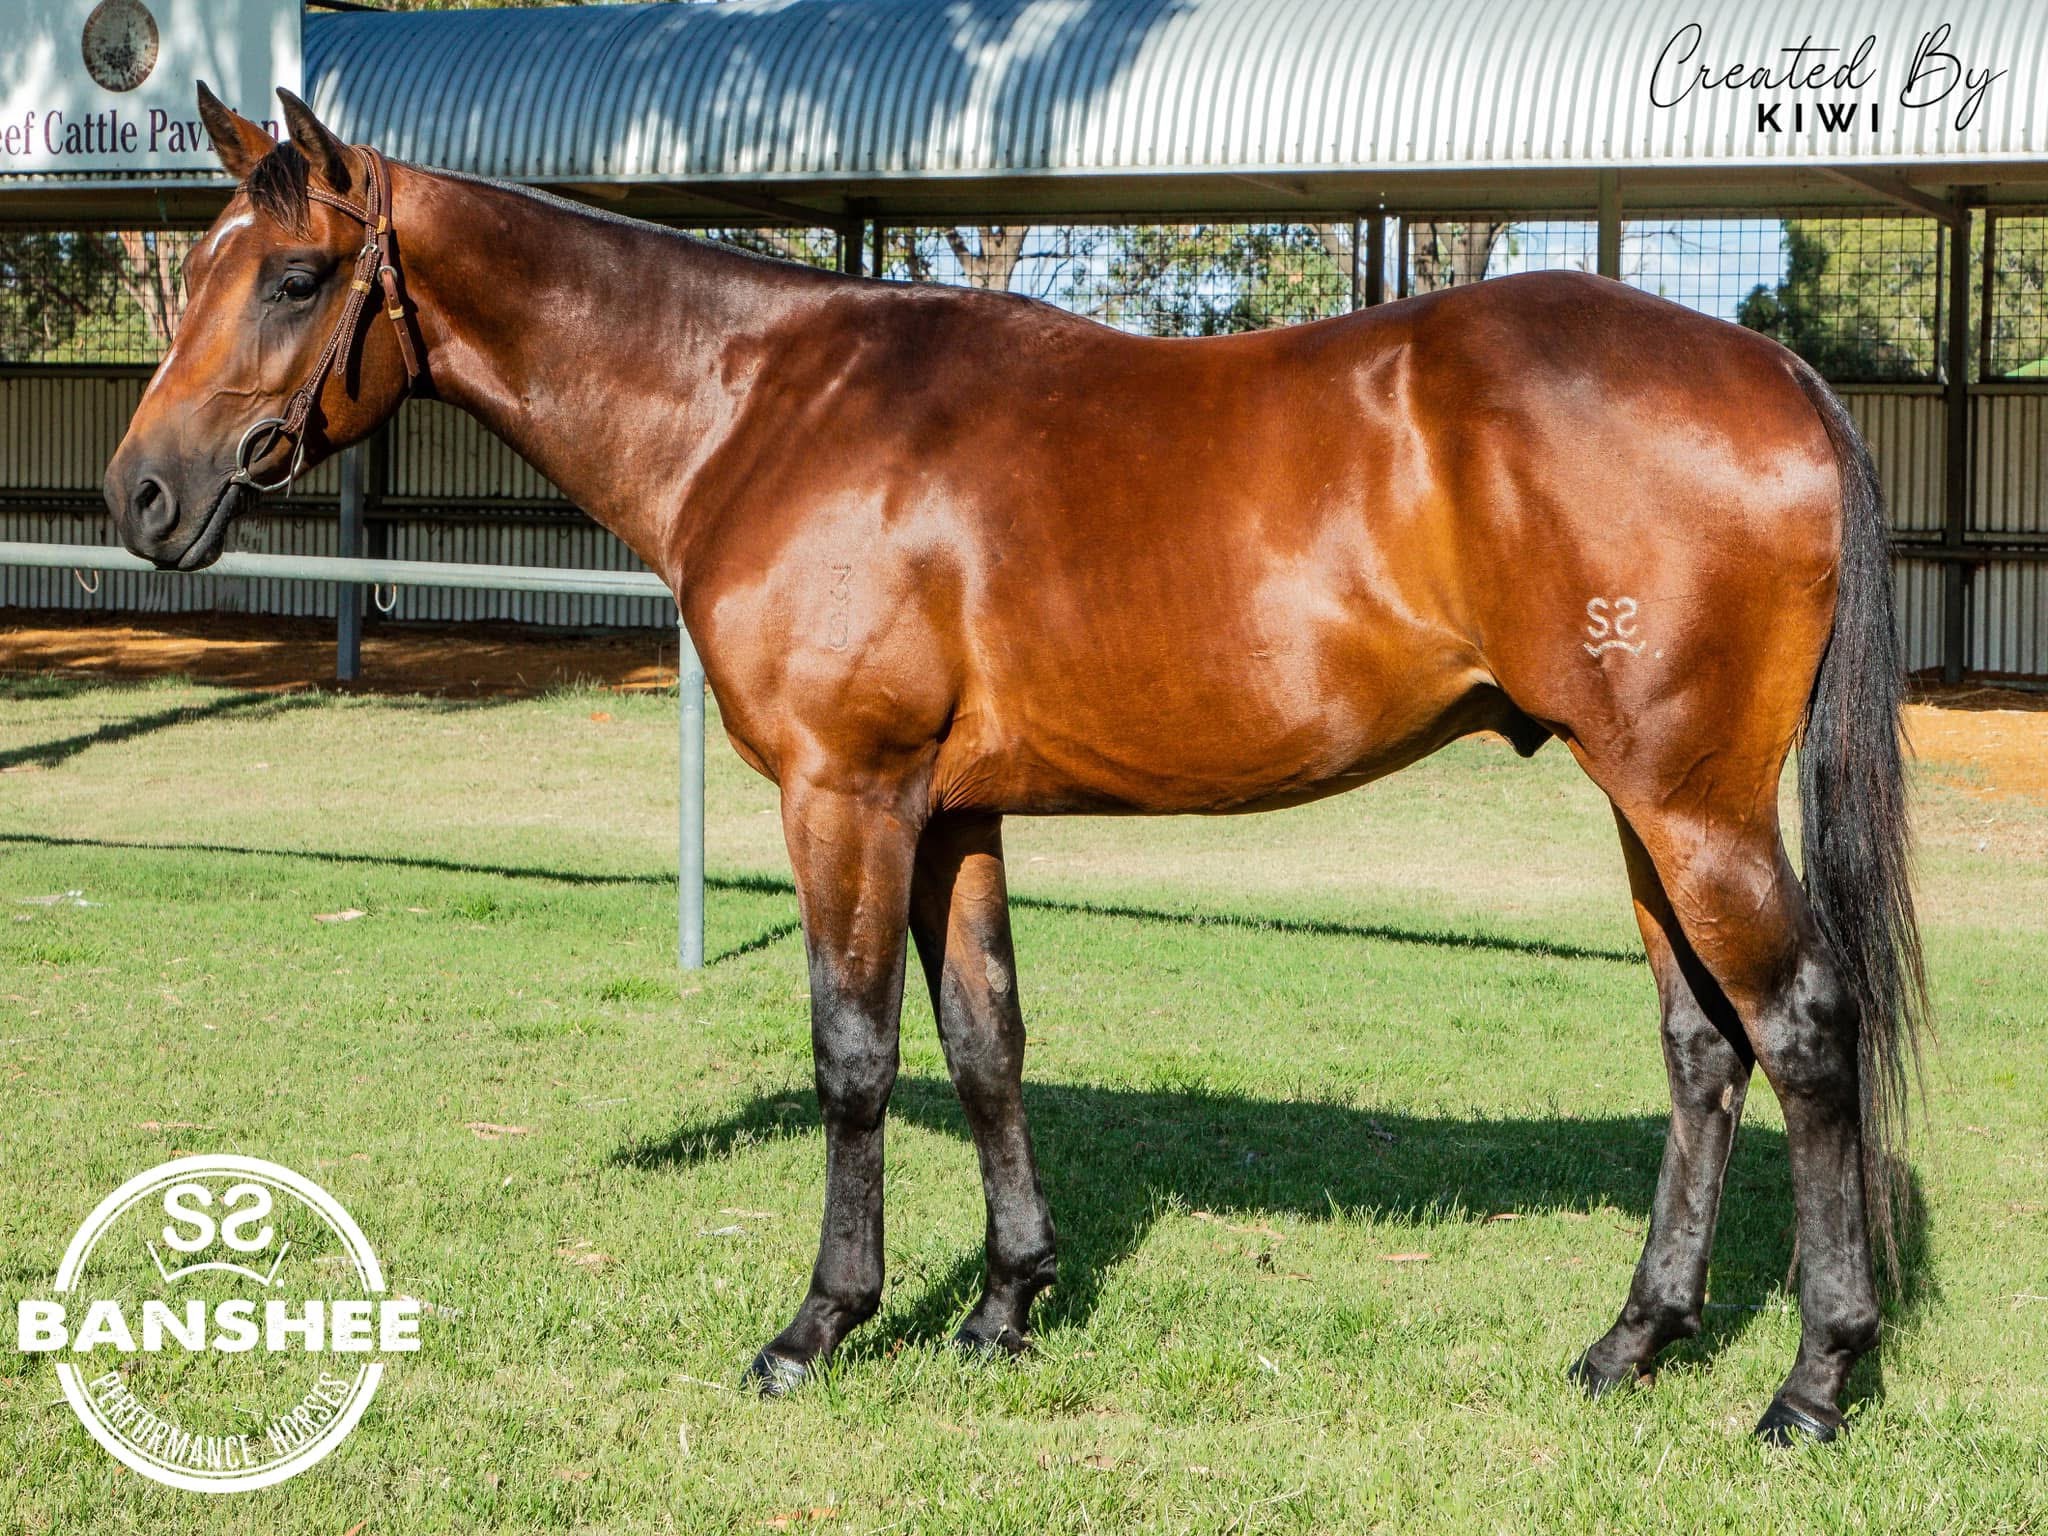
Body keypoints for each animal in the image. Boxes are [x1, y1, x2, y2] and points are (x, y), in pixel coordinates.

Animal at [105, 86, 1925, 1444]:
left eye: (291, 277)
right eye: (194, 263)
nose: (141, 497)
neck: (763, 403)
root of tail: (1768, 368)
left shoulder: (845, 793)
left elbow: (853, 1053)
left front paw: (822, 1325)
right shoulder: (951, 812)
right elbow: (986, 1044)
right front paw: (1001, 1306)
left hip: (1688, 804)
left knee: (1801, 1029)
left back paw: (1811, 1380)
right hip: (1641, 803)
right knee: (1702, 1048)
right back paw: (1636, 1340)